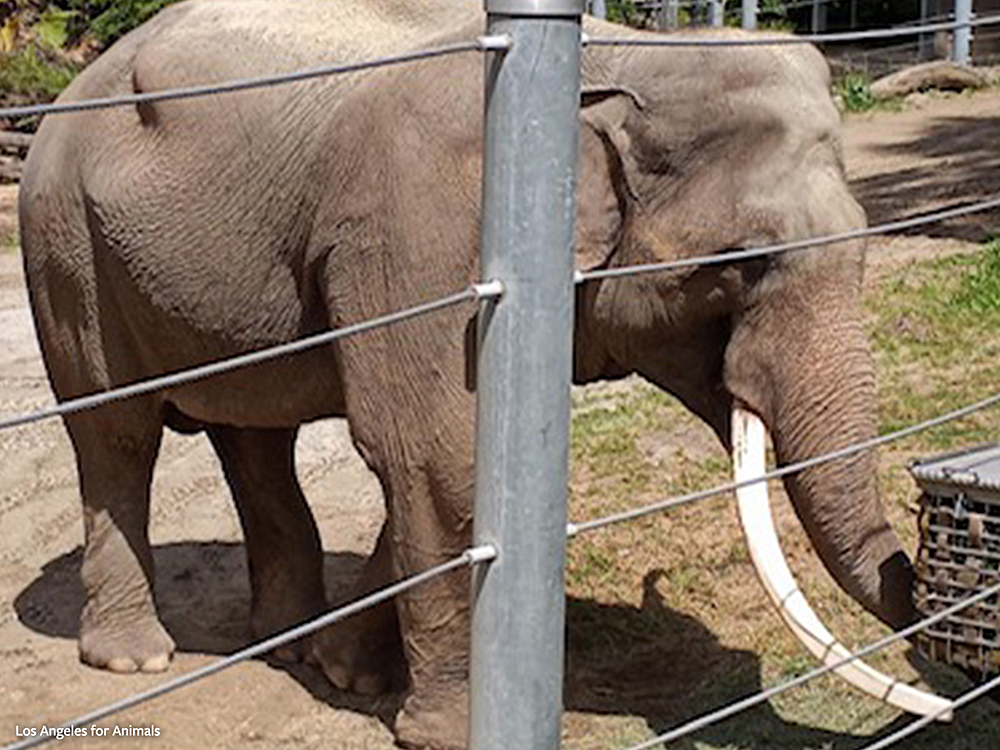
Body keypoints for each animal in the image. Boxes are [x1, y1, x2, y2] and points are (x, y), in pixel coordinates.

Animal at [18, 1, 918, 748]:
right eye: (748, 262)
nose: (917, 564)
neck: (628, 57)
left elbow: (458, 457)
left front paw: (346, 671)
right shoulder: (423, 237)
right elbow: (431, 453)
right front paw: (441, 733)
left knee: (254, 435)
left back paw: (286, 641)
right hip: (64, 244)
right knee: (115, 436)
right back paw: (136, 660)